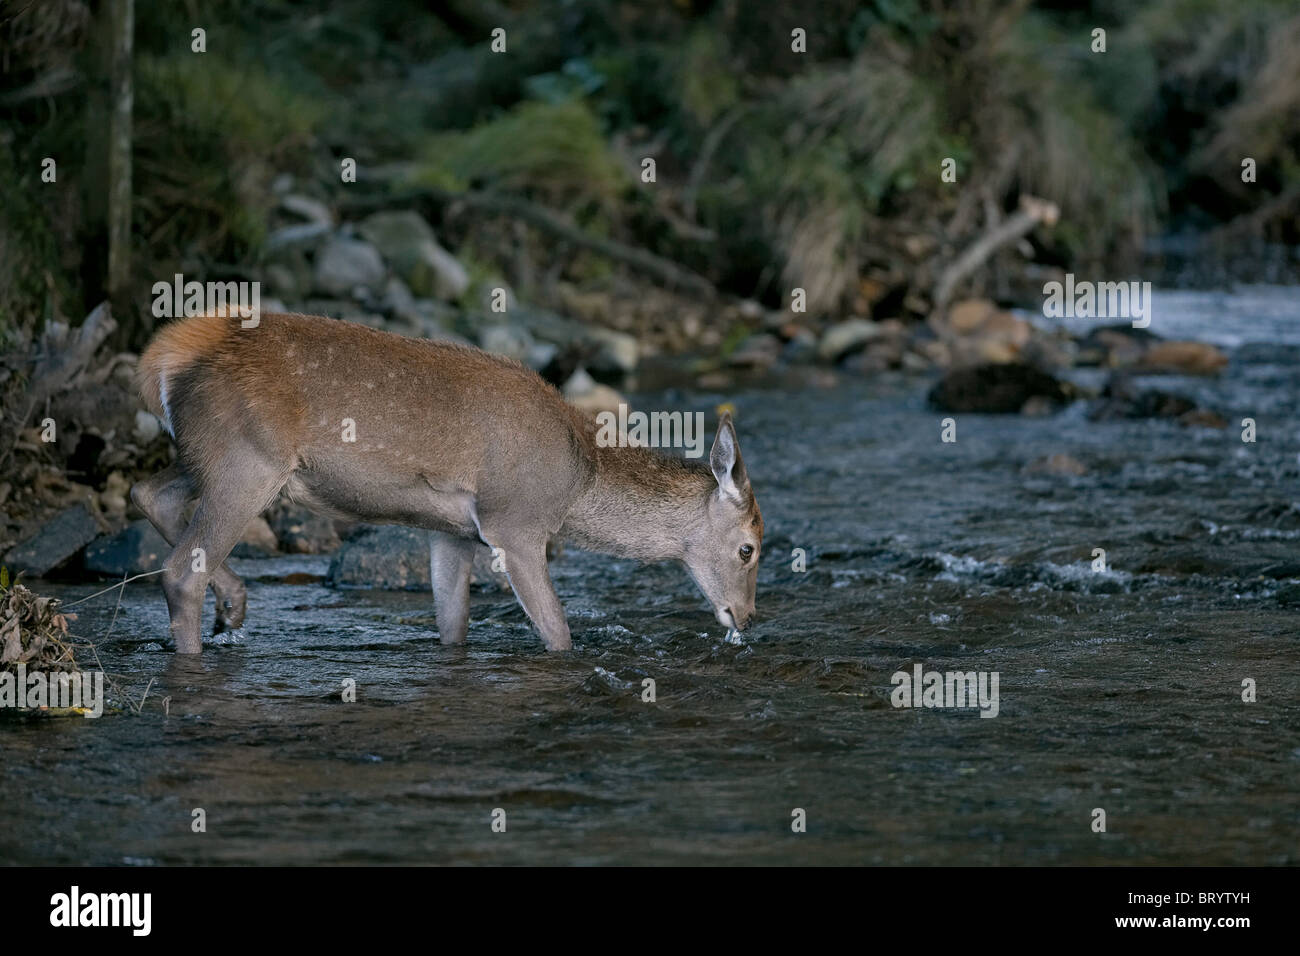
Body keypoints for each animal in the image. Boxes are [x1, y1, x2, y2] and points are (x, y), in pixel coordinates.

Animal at [132, 311, 763, 653]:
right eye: (749, 548)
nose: (746, 617)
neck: (578, 485)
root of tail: (161, 359)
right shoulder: (515, 523)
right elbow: (558, 633)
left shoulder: (452, 531)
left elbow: (452, 625)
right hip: (248, 460)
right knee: (180, 570)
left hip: (208, 456)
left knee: (147, 493)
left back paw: (234, 604)